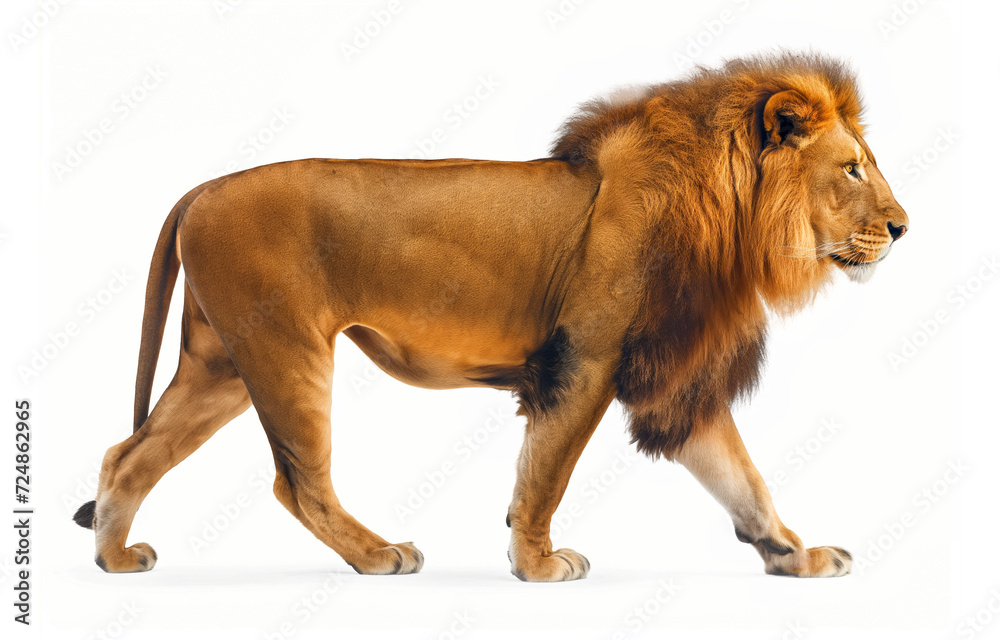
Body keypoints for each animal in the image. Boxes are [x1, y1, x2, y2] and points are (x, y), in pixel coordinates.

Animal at [74, 52, 907, 581]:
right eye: (852, 169)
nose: (904, 228)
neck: (730, 218)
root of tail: (201, 188)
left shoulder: (677, 381)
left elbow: (744, 481)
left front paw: (795, 556)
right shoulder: (585, 360)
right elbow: (545, 474)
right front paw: (537, 565)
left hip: (221, 361)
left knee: (128, 455)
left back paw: (115, 558)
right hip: (286, 353)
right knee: (297, 484)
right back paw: (380, 556)